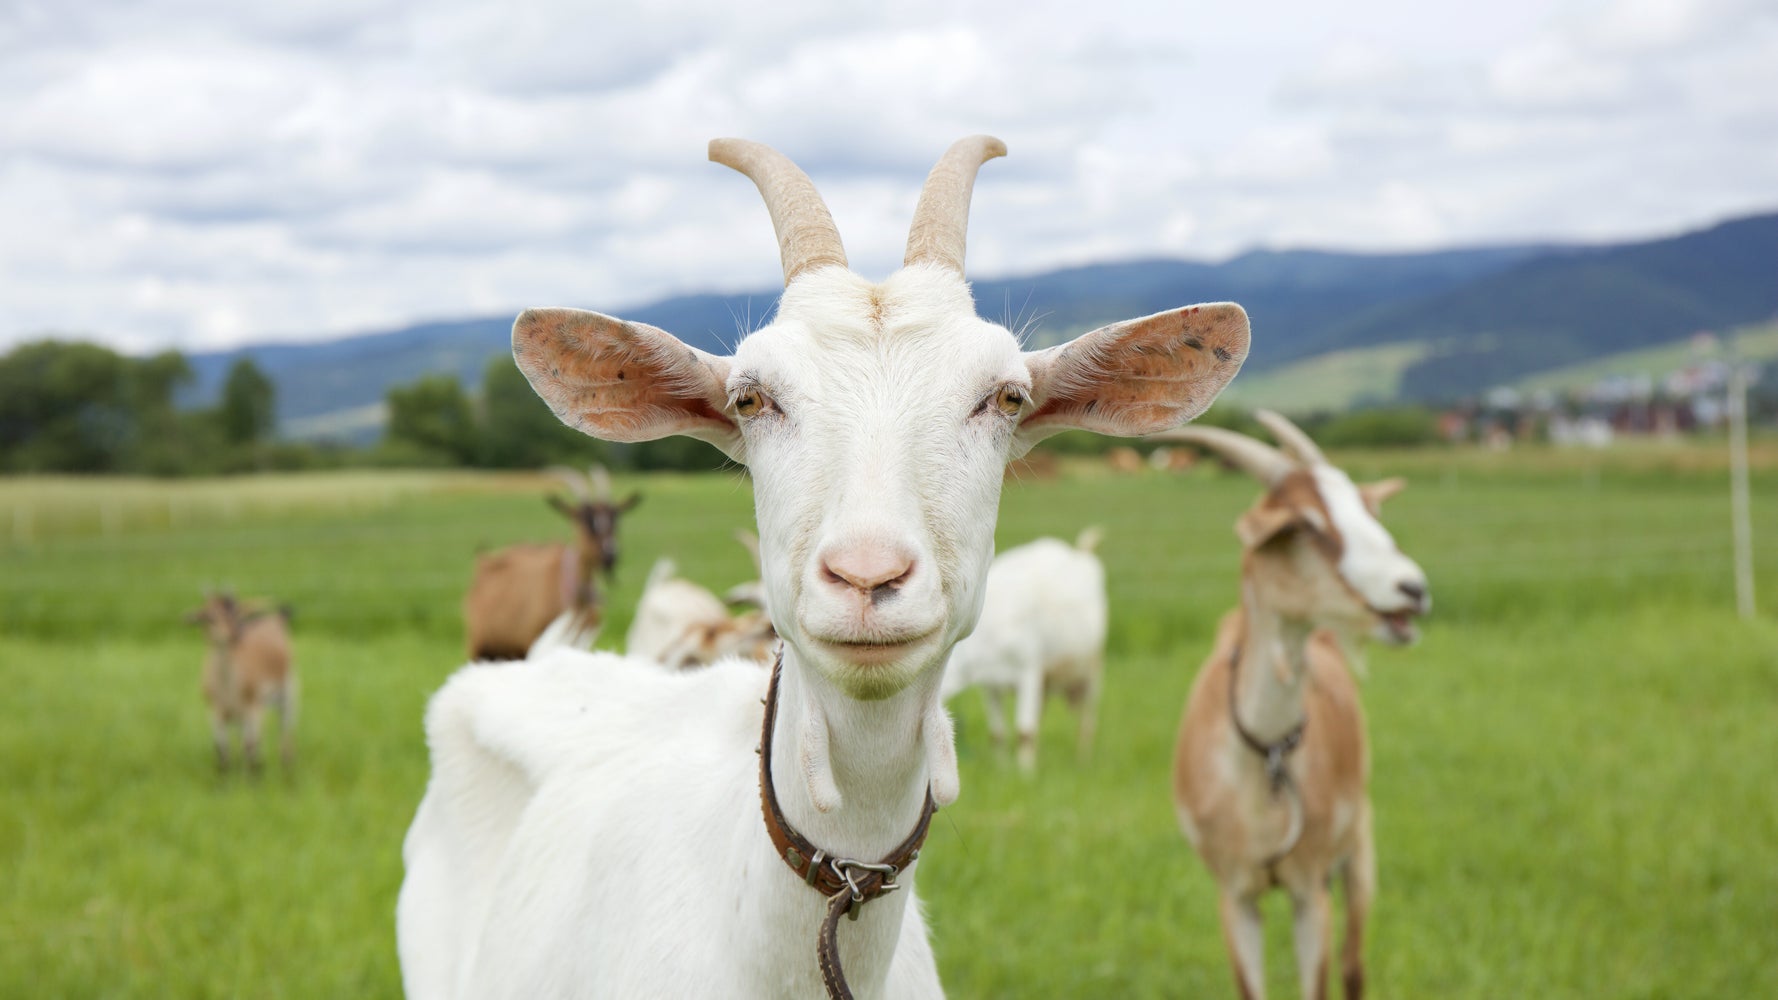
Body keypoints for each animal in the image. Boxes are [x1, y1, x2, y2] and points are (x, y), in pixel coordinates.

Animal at [184, 591, 297, 775]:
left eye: (235, 614)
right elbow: (222, 750)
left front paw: (254, 777)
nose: (234, 635)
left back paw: (286, 768)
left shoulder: (254, 708)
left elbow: (251, 747)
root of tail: (276, 619)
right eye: (208, 617)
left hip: (288, 693)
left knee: (284, 730)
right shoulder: (216, 712)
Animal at [461, 464, 639, 660]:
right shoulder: (533, 639)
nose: (610, 555)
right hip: (479, 645)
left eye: (616, 520)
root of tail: (484, 560)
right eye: (584, 521)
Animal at [939, 527, 1107, 771]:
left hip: (1091, 670)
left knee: (1087, 719)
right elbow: (997, 733)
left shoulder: (1029, 671)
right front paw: (1001, 768)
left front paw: (1025, 773)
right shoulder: (991, 684)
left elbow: (1024, 731)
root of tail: (1080, 553)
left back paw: (1082, 761)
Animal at [1159, 412, 1429, 1000]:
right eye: (1305, 525)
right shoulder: (1234, 892)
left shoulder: (1312, 889)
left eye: (1367, 510)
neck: (1264, 754)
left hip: (1359, 849)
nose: (1413, 588)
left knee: (1354, 967)